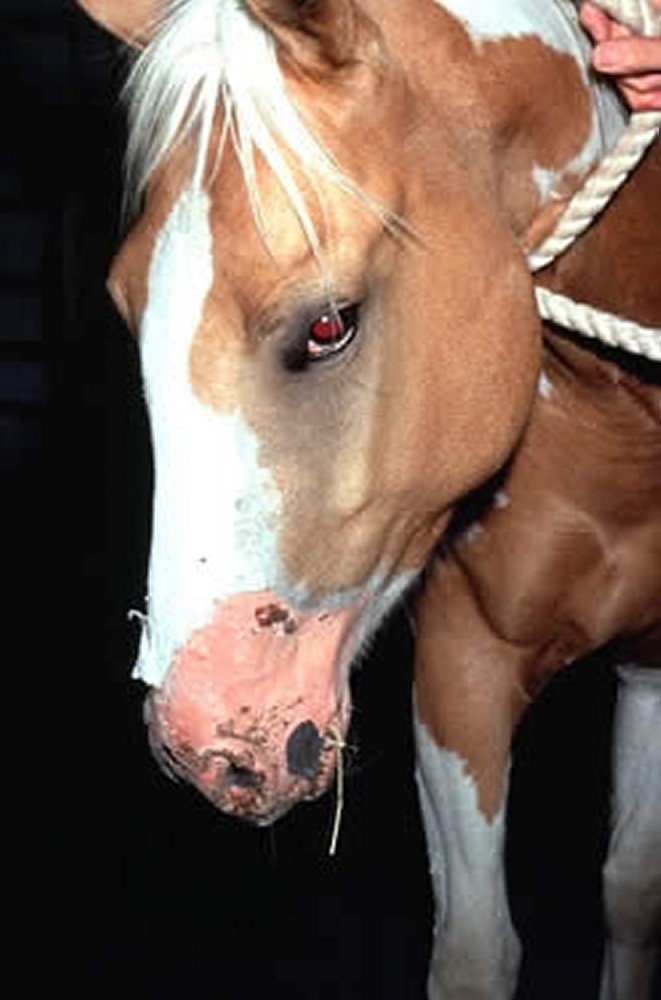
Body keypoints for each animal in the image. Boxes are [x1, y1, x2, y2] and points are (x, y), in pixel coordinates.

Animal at [76, 1, 660, 997]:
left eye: (327, 325)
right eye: (128, 310)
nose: (201, 736)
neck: (619, 411)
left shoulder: (652, 667)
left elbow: (631, 892)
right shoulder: (465, 662)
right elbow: (475, 948)